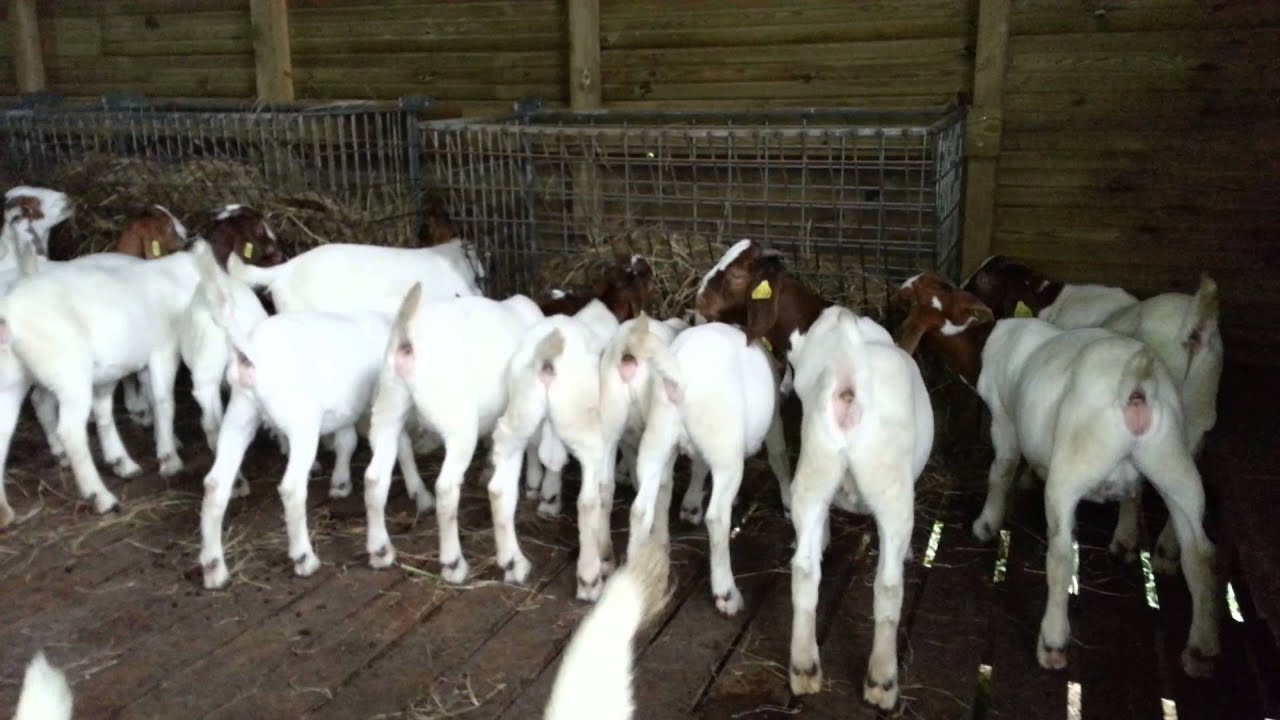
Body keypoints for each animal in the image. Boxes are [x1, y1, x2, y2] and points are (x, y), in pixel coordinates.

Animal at [192, 240, 426, 589]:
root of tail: (250, 351)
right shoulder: (380, 404)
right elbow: (403, 447)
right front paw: (420, 493)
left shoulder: (346, 407)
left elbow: (346, 440)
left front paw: (341, 483)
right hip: (300, 422)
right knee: (291, 488)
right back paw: (304, 557)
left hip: (240, 414)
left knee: (215, 485)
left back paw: (214, 568)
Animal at [897, 275, 1220, 677]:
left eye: (915, 297)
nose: (901, 287)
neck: (984, 344)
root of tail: (1137, 387)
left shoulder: (1004, 420)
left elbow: (1001, 470)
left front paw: (986, 524)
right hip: (1173, 460)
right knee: (1200, 554)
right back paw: (1200, 649)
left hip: (1072, 470)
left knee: (1063, 555)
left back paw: (1052, 641)